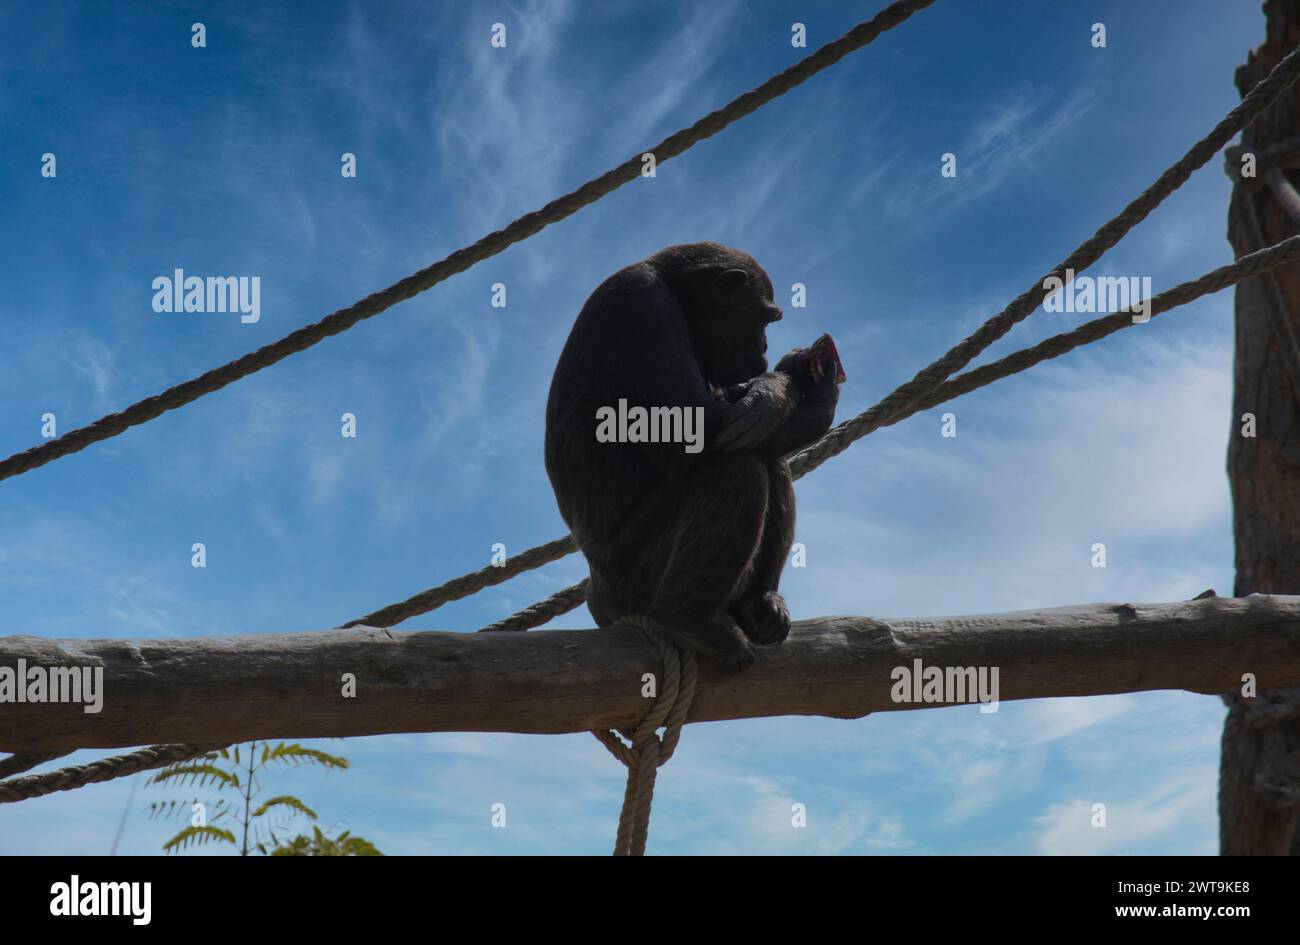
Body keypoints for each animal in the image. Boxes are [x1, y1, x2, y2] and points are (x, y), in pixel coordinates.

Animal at [544, 243, 844, 672]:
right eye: (764, 319)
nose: (765, 348)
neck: (680, 299)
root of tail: (596, 600)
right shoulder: (642, 305)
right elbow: (694, 425)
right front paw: (796, 392)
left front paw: (788, 379)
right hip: (628, 580)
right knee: (735, 471)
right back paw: (686, 622)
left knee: (769, 460)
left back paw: (761, 605)